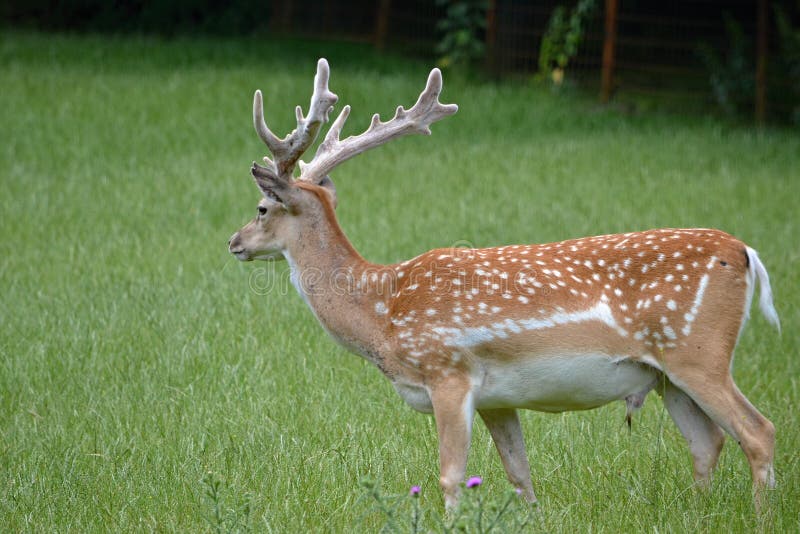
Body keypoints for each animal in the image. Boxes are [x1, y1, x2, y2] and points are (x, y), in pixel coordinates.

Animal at [227, 59, 781, 510]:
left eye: (262, 208)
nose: (234, 241)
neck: (383, 311)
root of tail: (745, 253)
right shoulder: (499, 398)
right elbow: (521, 478)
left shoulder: (449, 372)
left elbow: (450, 477)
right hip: (666, 374)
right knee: (707, 442)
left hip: (699, 352)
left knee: (759, 431)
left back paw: (761, 515)